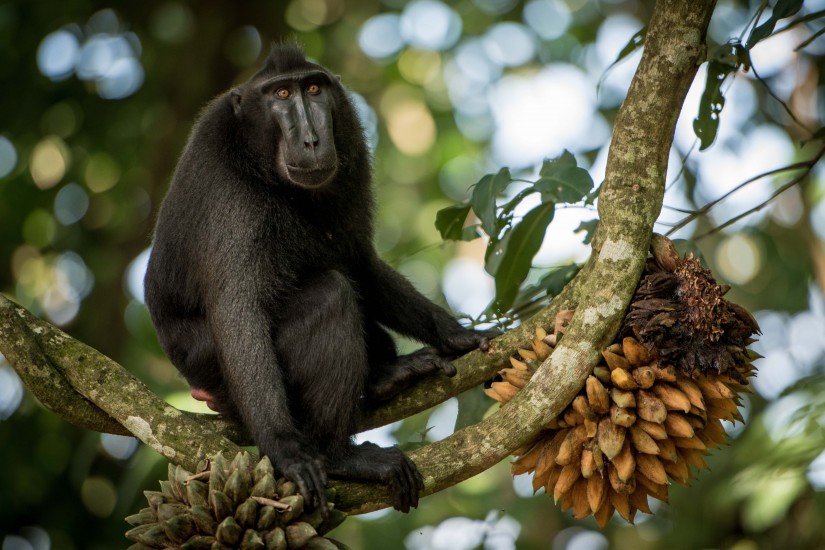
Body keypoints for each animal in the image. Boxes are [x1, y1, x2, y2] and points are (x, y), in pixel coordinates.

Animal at [143, 44, 496, 514]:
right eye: (281, 94)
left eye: (313, 89)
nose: (311, 140)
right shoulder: (231, 199)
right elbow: (237, 314)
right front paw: (286, 450)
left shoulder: (352, 162)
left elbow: (360, 261)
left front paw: (457, 335)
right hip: (216, 373)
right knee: (331, 293)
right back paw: (338, 456)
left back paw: (386, 375)